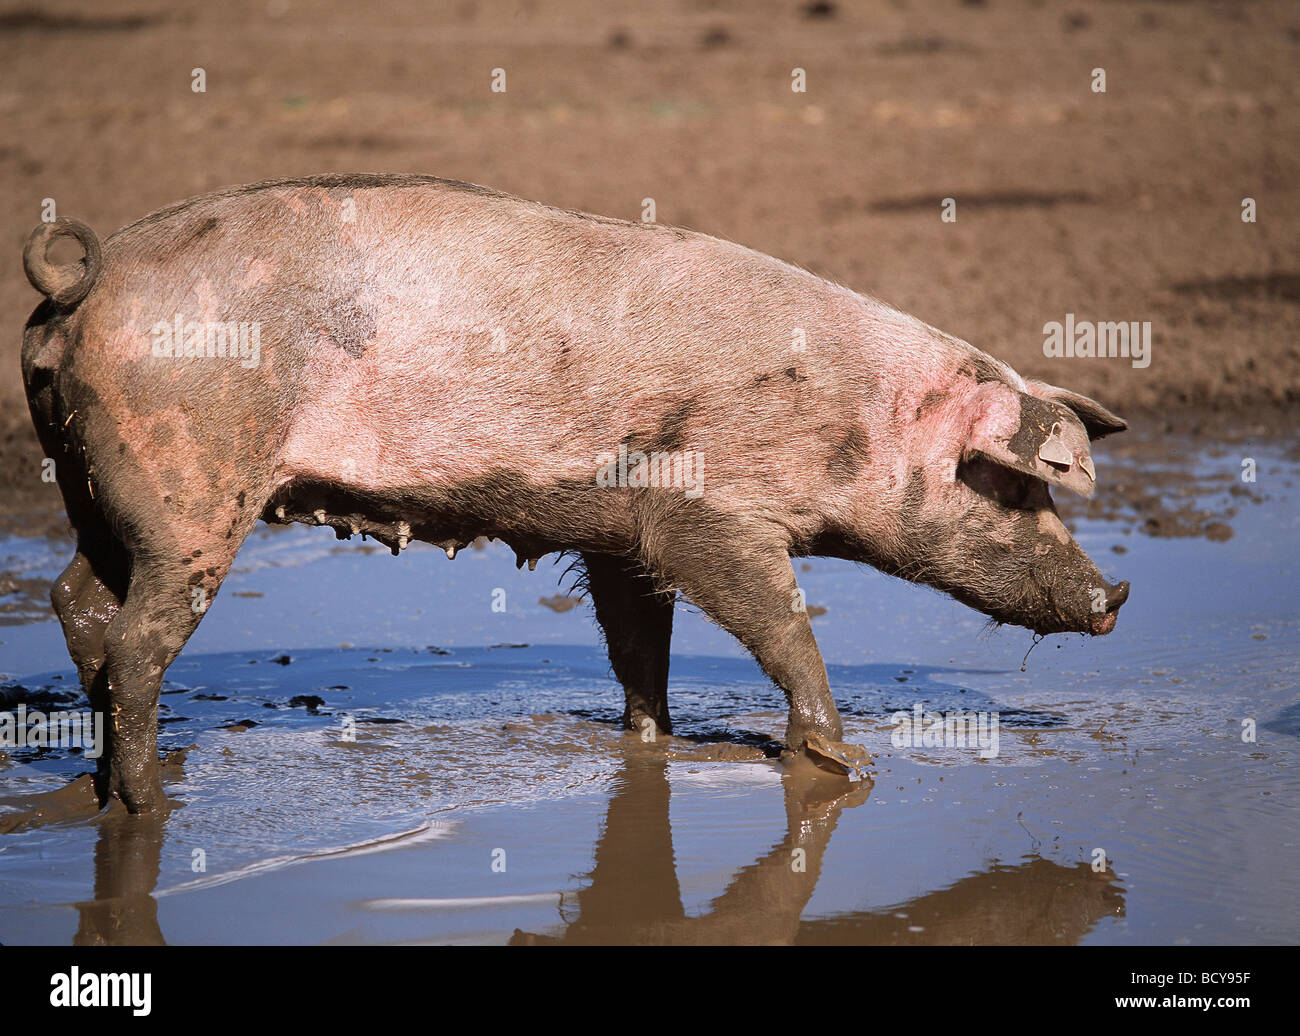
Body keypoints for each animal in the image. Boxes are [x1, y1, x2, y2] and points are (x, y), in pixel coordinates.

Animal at [21, 174, 1129, 813]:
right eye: (1013, 489)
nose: (1114, 595)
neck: (843, 414)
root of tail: (89, 281)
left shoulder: (616, 532)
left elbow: (640, 645)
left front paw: (653, 745)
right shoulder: (702, 511)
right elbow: (778, 617)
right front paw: (845, 764)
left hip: (96, 488)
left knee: (77, 599)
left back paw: (115, 778)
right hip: (192, 488)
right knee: (137, 636)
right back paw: (150, 802)